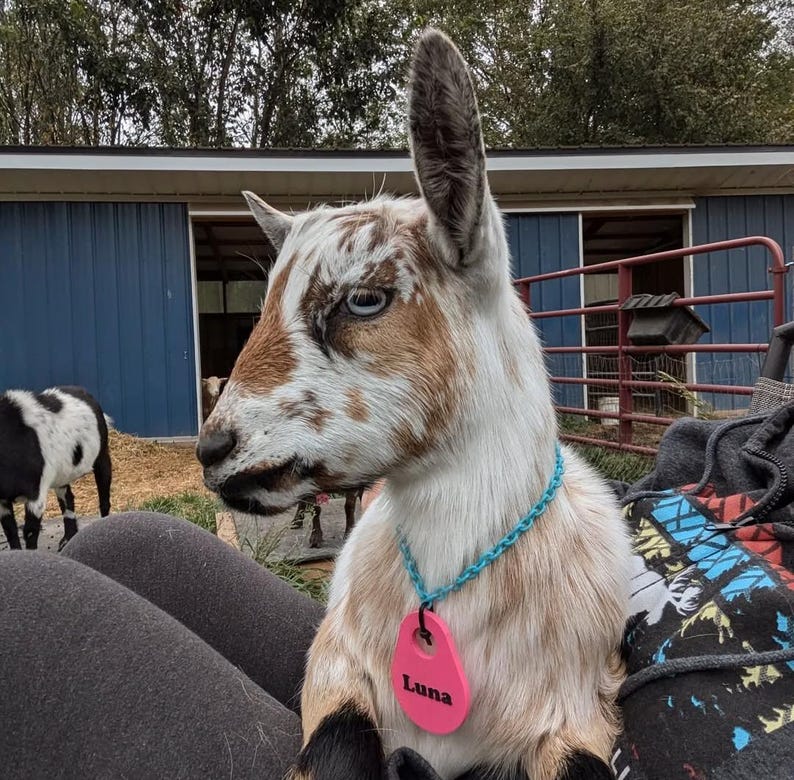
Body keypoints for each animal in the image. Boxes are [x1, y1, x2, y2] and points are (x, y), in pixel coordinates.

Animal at [0, 386, 112, 551]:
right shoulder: (2, 501)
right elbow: (10, 530)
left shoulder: (36, 495)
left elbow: (30, 531)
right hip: (62, 474)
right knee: (67, 499)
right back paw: (67, 539)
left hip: (102, 456)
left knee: (104, 497)